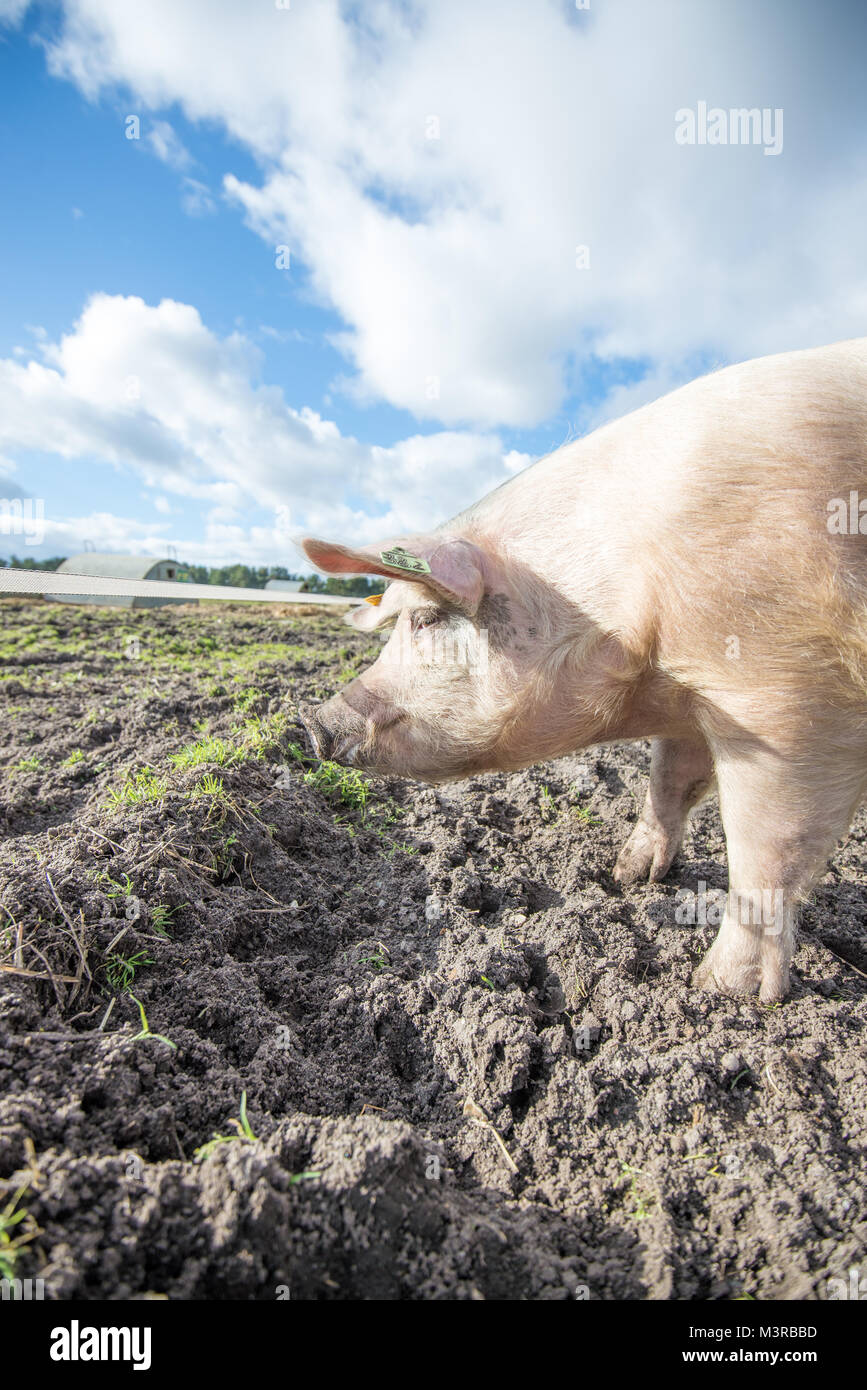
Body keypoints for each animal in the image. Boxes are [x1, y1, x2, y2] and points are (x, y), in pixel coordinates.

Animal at [300, 338, 867, 1003]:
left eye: (425, 619)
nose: (314, 722)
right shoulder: (696, 703)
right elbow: (669, 782)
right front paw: (628, 877)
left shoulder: (788, 692)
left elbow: (770, 845)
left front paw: (722, 991)